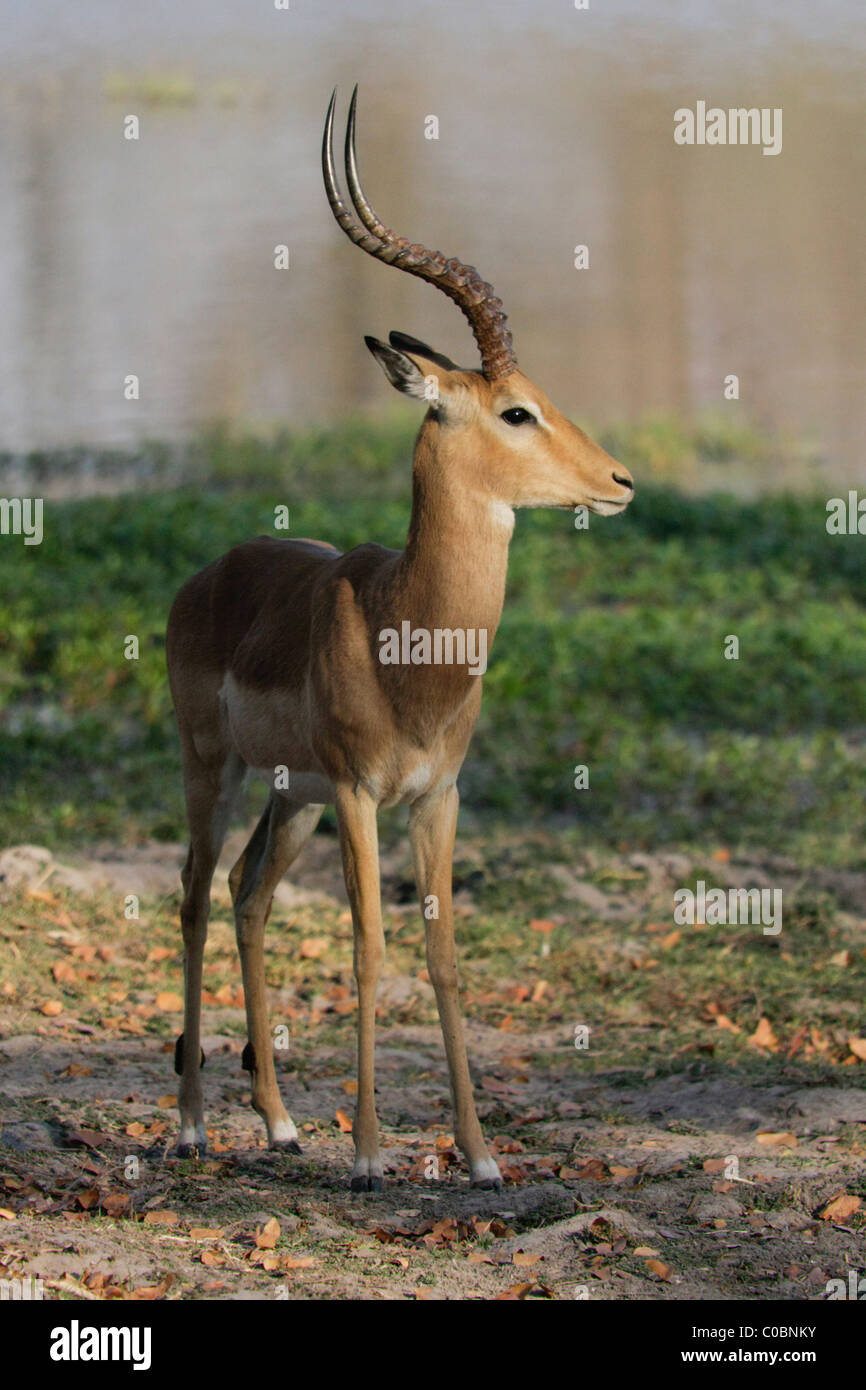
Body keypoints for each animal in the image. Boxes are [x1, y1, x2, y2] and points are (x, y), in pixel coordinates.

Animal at [166, 86, 634, 1191]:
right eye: (515, 410)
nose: (619, 481)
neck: (405, 637)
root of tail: (210, 574)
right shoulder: (358, 794)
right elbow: (370, 948)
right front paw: (372, 1152)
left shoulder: (436, 796)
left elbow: (444, 957)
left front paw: (479, 1156)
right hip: (218, 770)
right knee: (196, 896)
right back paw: (200, 1125)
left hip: (289, 799)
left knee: (247, 897)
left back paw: (281, 1124)